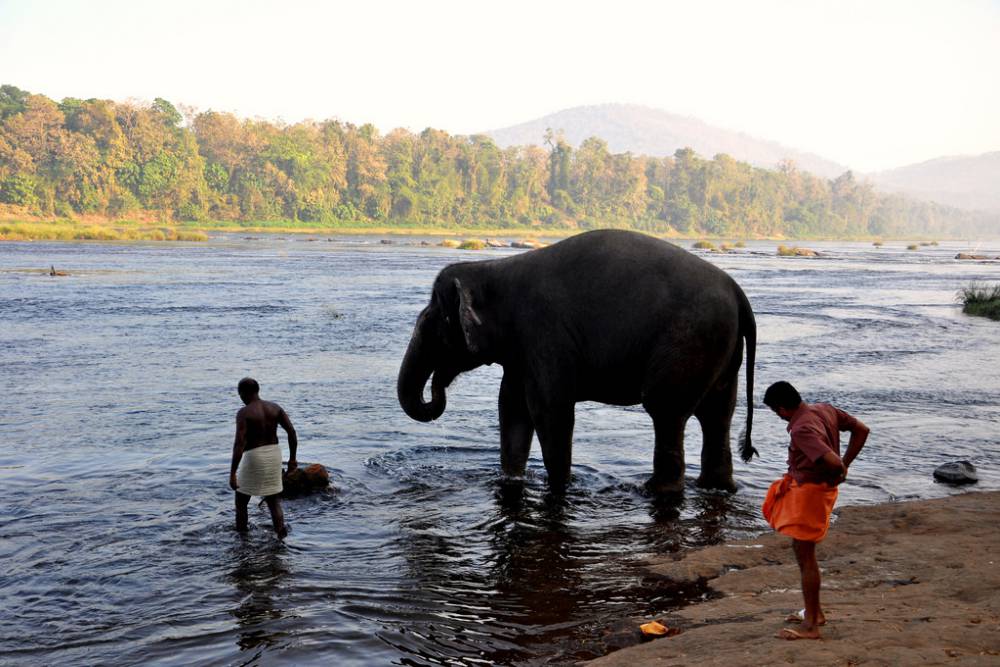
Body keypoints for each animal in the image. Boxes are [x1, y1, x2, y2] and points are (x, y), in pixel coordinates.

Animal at [397, 229, 757, 493]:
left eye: (435, 323)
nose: (439, 384)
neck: (494, 269)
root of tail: (739, 294)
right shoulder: (521, 351)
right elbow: (511, 408)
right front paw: (512, 480)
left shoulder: (544, 334)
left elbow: (549, 410)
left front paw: (559, 487)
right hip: (719, 350)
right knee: (717, 415)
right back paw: (715, 487)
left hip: (689, 342)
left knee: (665, 411)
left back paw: (652, 490)